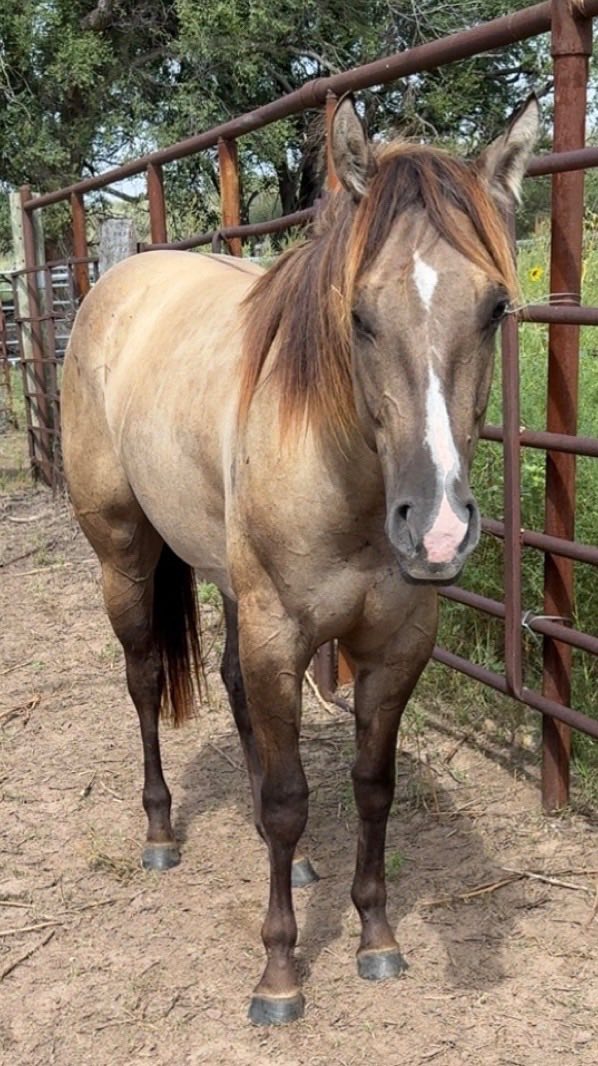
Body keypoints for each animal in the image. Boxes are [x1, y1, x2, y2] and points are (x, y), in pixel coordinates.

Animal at [61, 95, 538, 1025]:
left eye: (495, 308)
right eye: (358, 314)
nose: (435, 530)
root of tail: (116, 284)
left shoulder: (395, 644)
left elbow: (371, 786)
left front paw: (377, 936)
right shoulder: (281, 635)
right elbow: (290, 800)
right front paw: (280, 973)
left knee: (232, 687)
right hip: (125, 557)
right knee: (144, 679)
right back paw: (160, 832)